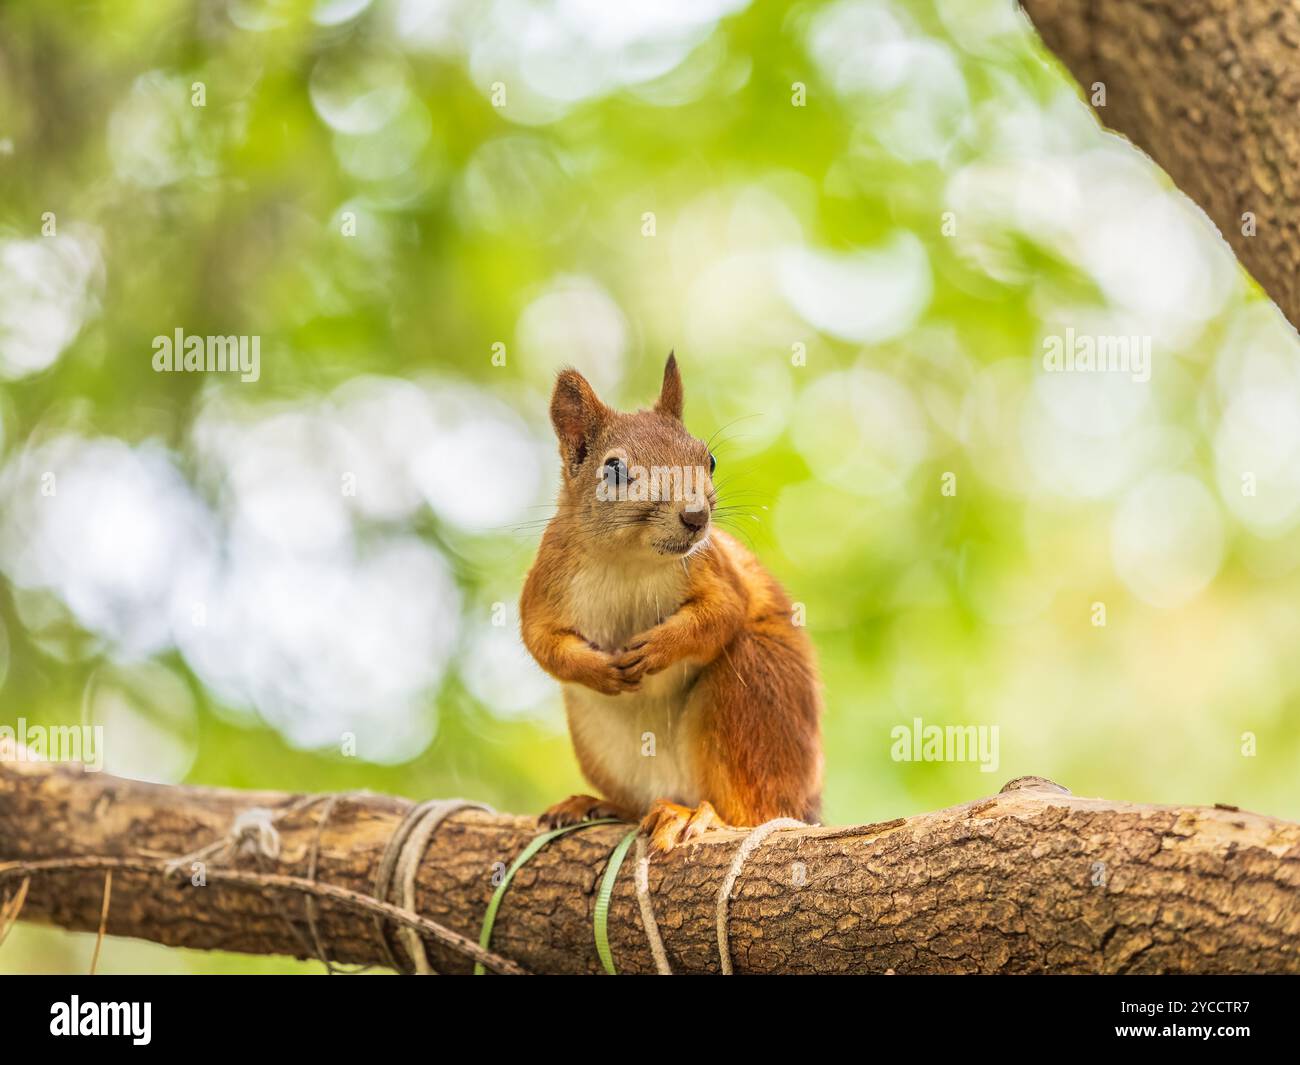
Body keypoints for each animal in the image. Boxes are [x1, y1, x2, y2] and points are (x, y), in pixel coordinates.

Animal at [520, 354, 823, 852]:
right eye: (614, 471)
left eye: (710, 459)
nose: (696, 515)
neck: (631, 559)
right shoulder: (546, 585)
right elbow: (540, 640)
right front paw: (596, 669)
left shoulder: (716, 572)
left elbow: (722, 613)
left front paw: (660, 647)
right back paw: (599, 804)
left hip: (754, 694)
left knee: (749, 811)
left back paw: (698, 815)